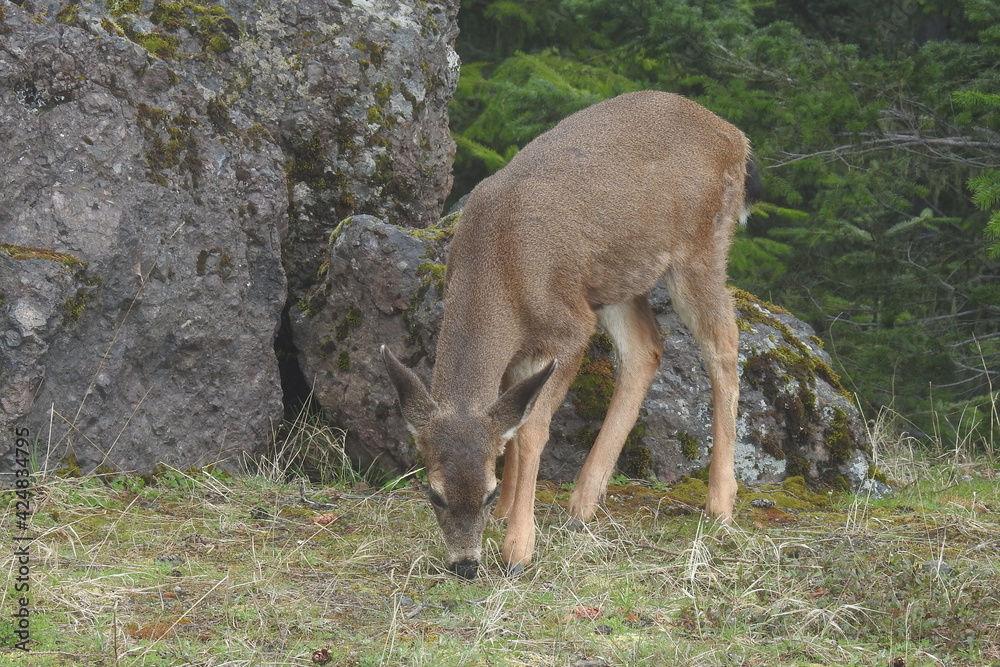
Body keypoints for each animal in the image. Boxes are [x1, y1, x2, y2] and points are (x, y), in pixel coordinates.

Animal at [382, 90, 760, 579]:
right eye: (434, 494)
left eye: (484, 493)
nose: (465, 565)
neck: (498, 268)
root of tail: (737, 139)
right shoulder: (523, 349)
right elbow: (511, 424)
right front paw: (507, 514)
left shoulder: (569, 328)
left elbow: (531, 431)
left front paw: (518, 545)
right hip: (613, 279)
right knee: (645, 349)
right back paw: (584, 501)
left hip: (700, 245)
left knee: (724, 343)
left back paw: (719, 503)